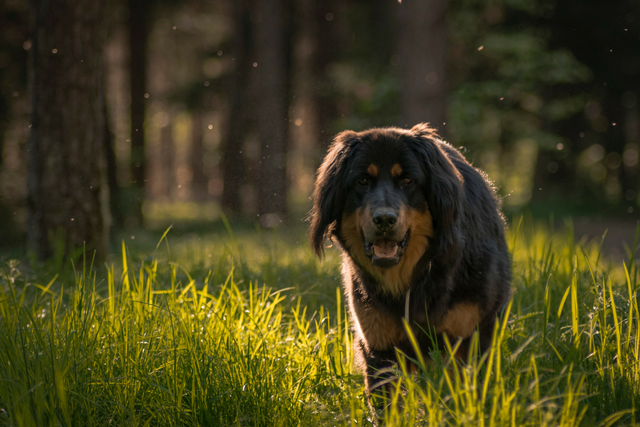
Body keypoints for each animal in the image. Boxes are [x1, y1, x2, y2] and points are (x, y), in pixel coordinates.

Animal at [308, 122, 512, 406]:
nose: (384, 219)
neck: (414, 279)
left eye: (407, 181)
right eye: (362, 181)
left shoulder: (467, 339)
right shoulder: (379, 345)